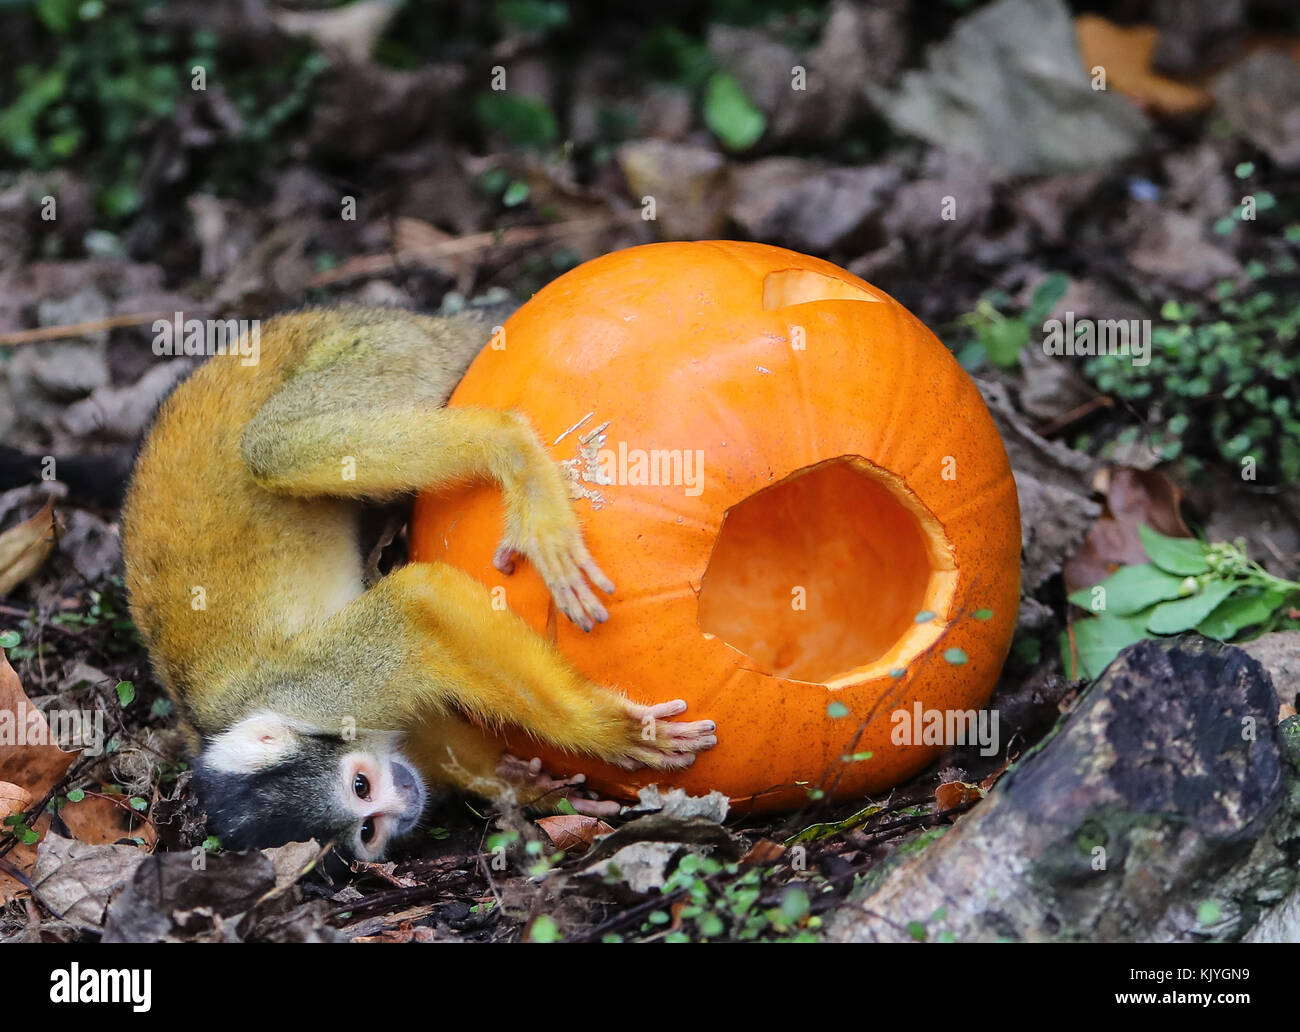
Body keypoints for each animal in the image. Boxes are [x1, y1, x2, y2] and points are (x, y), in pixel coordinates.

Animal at [120, 305, 717, 860]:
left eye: (361, 787)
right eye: (367, 830)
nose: (404, 805)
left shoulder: (309, 691)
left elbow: (413, 606)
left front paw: (607, 731)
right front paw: (519, 785)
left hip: (377, 351)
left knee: (270, 449)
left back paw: (510, 450)